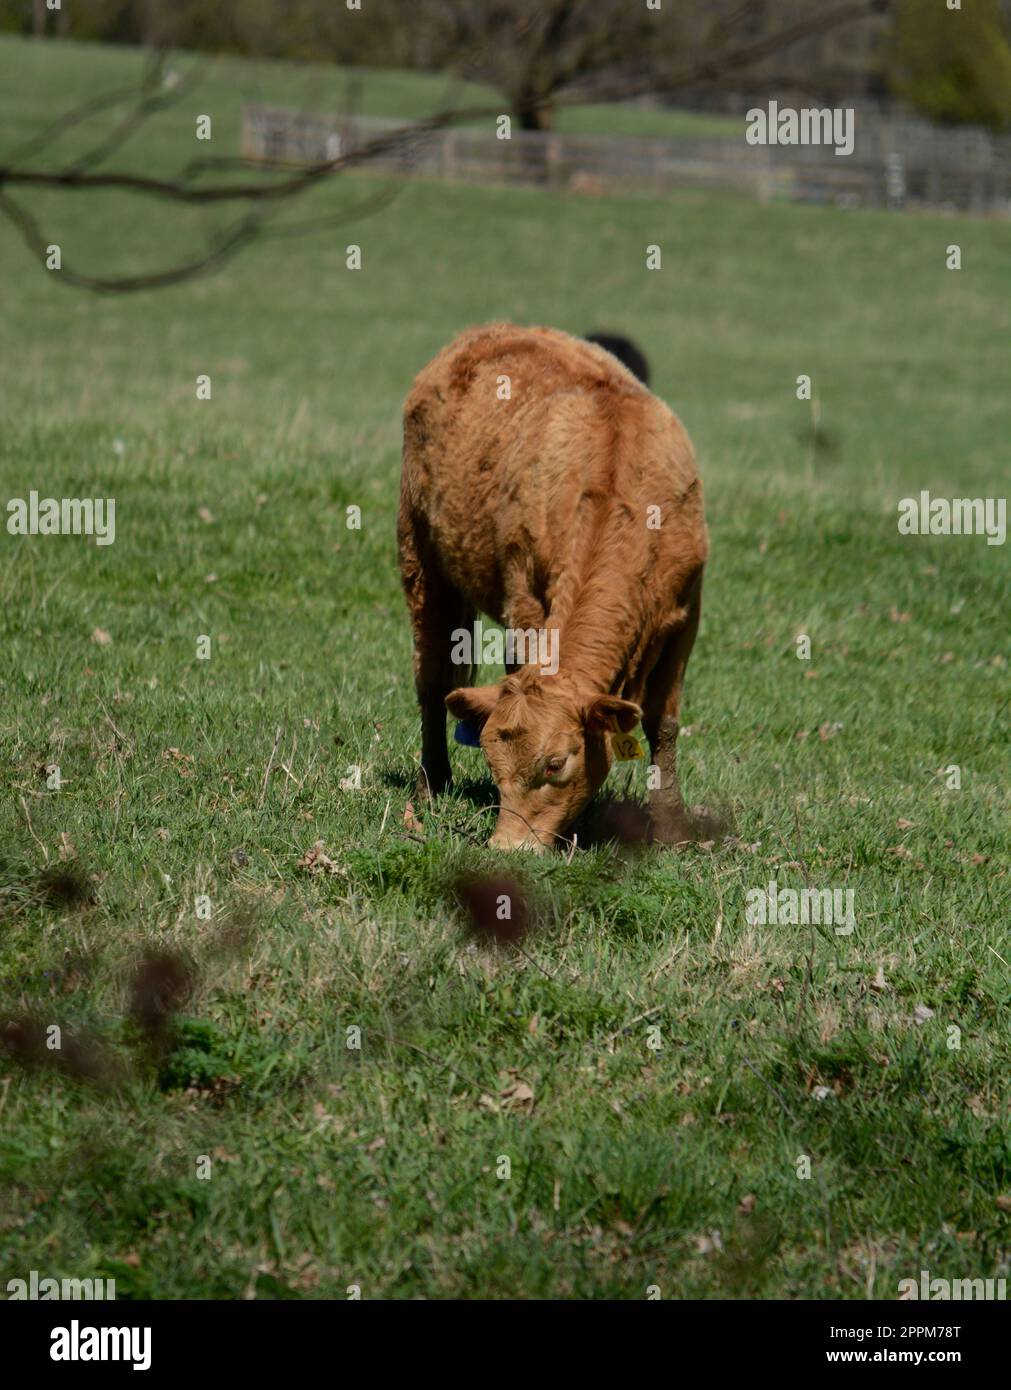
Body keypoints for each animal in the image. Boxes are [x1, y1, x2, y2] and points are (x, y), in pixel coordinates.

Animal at [397, 323, 707, 851]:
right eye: (494, 766)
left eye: (556, 763)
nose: (506, 848)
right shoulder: (525, 599)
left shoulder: (686, 616)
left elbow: (662, 722)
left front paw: (672, 827)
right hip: (421, 561)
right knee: (434, 679)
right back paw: (431, 784)